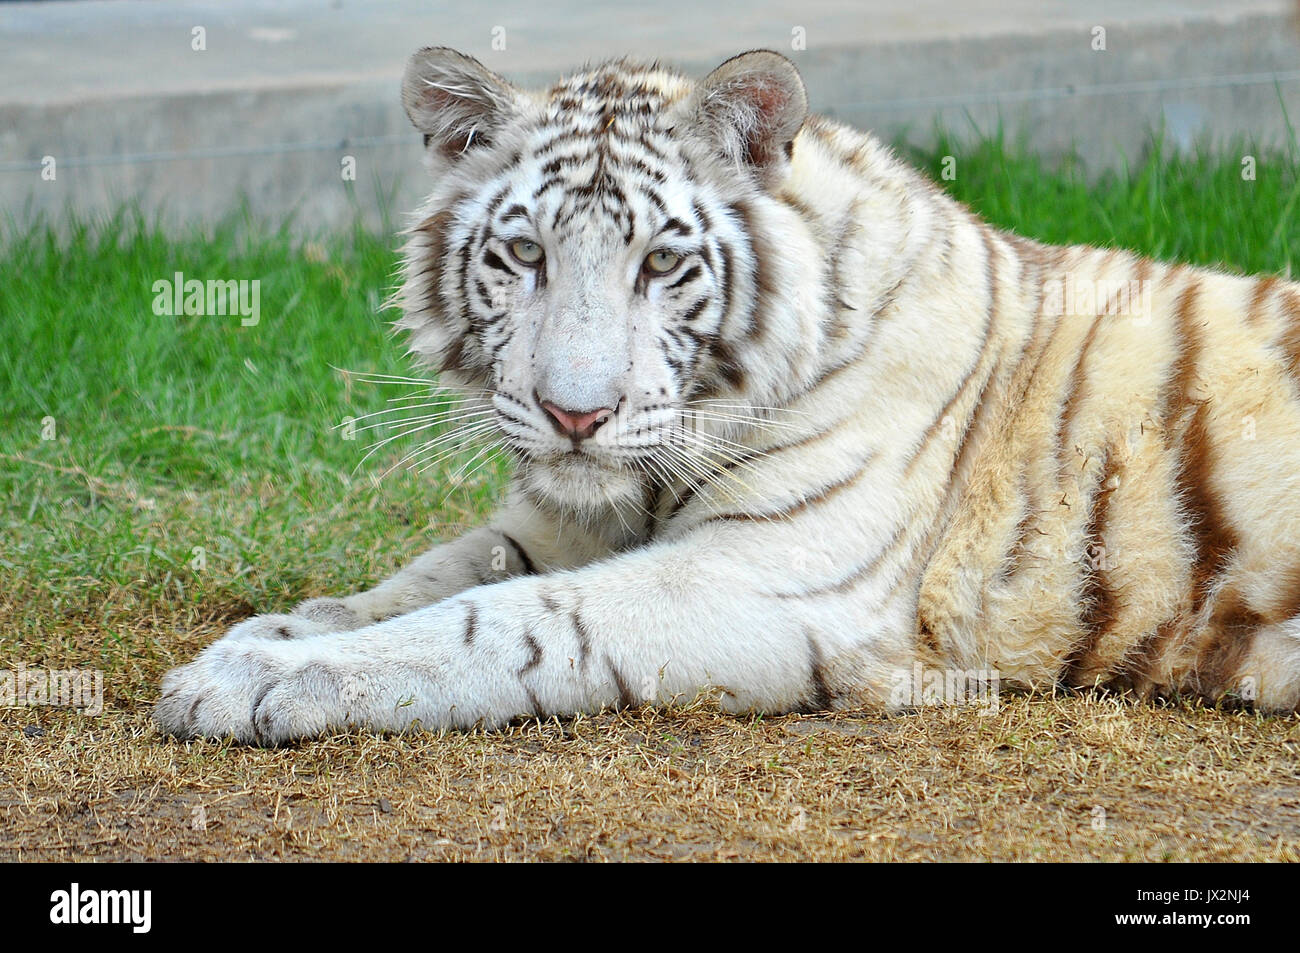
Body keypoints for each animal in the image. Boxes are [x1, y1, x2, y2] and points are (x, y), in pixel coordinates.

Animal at [154, 46, 1300, 744]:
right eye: (523, 254)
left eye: (661, 263)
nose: (576, 415)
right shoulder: (556, 521)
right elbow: (421, 579)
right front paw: (268, 635)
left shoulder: (769, 579)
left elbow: (502, 621)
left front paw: (253, 681)